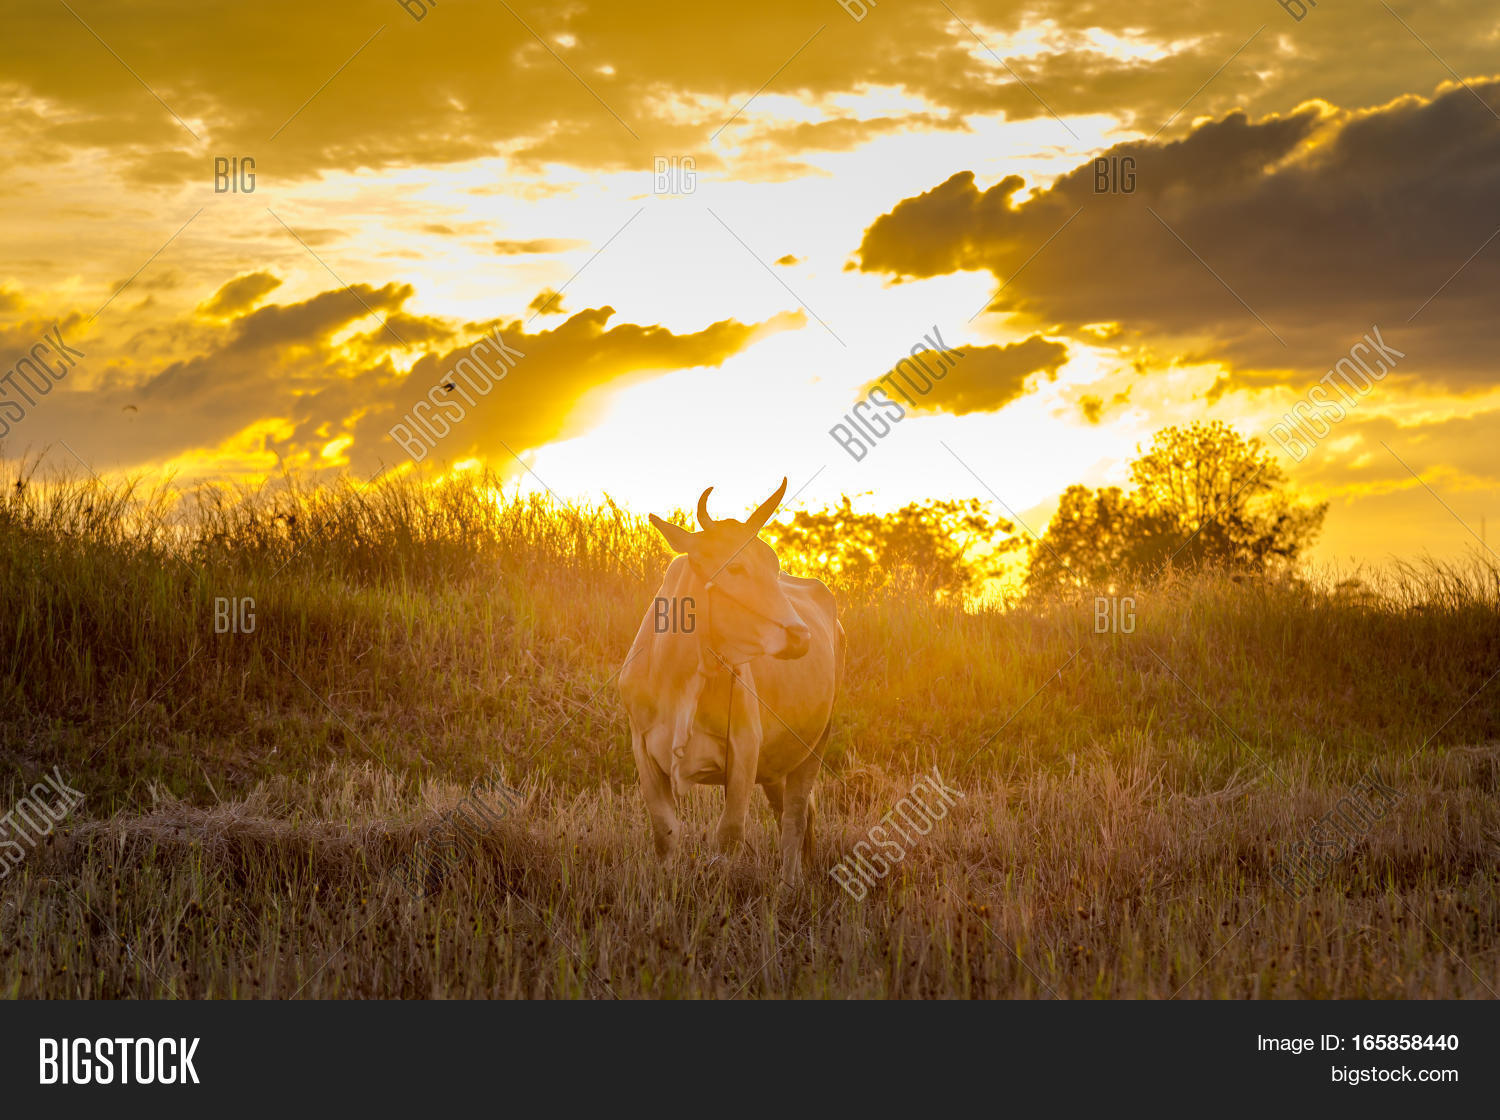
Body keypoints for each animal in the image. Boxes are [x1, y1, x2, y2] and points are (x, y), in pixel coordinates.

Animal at [619, 479, 844, 883]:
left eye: (774, 566)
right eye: (735, 567)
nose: (800, 635)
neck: (682, 675)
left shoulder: (744, 750)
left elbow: (728, 837)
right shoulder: (643, 749)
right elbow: (665, 834)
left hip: (815, 743)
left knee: (795, 818)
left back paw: (790, 884)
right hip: (775, 764)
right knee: (789, 812)